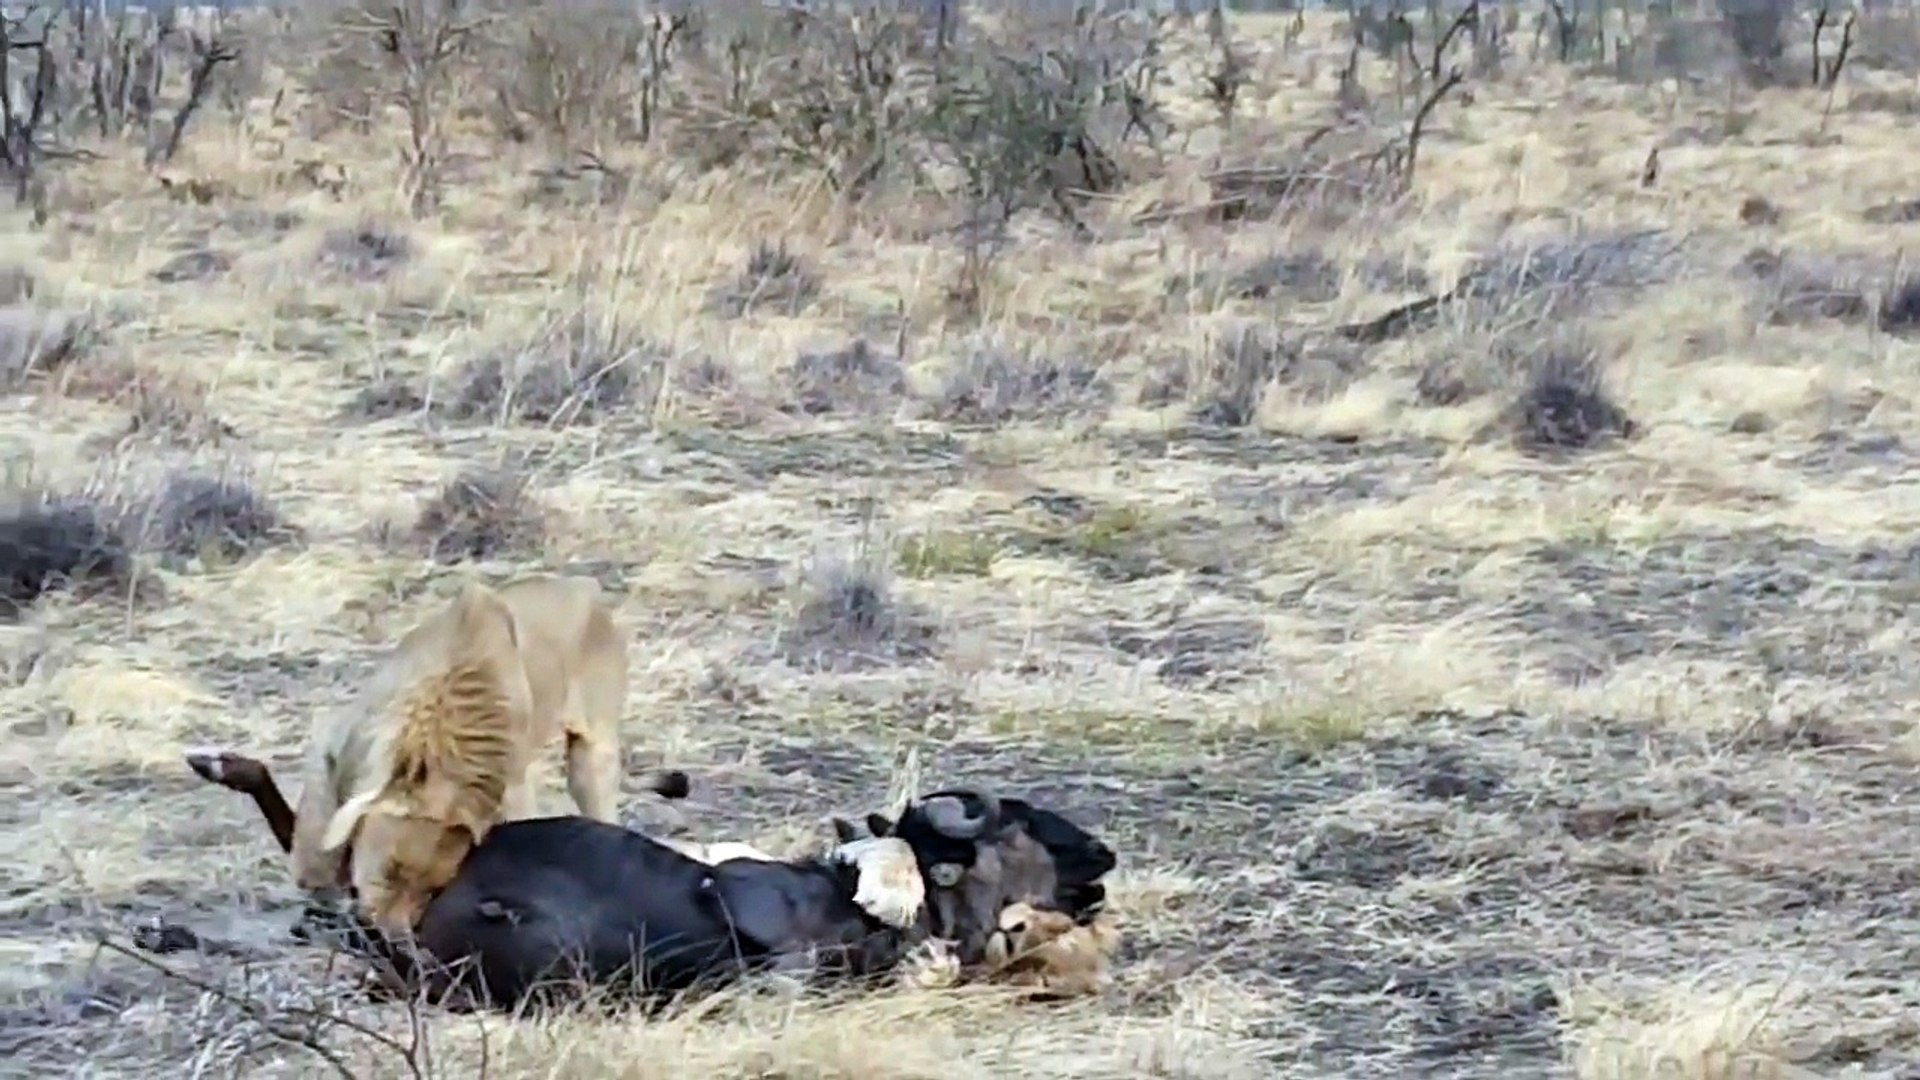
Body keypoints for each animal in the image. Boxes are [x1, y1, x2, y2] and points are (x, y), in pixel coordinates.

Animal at [290, 574, 629, 936]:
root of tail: (584, 584)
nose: (396, 937)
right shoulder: (334, 743)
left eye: (433, 891)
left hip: (592, 757)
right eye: (389, 872)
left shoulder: (513, 792)